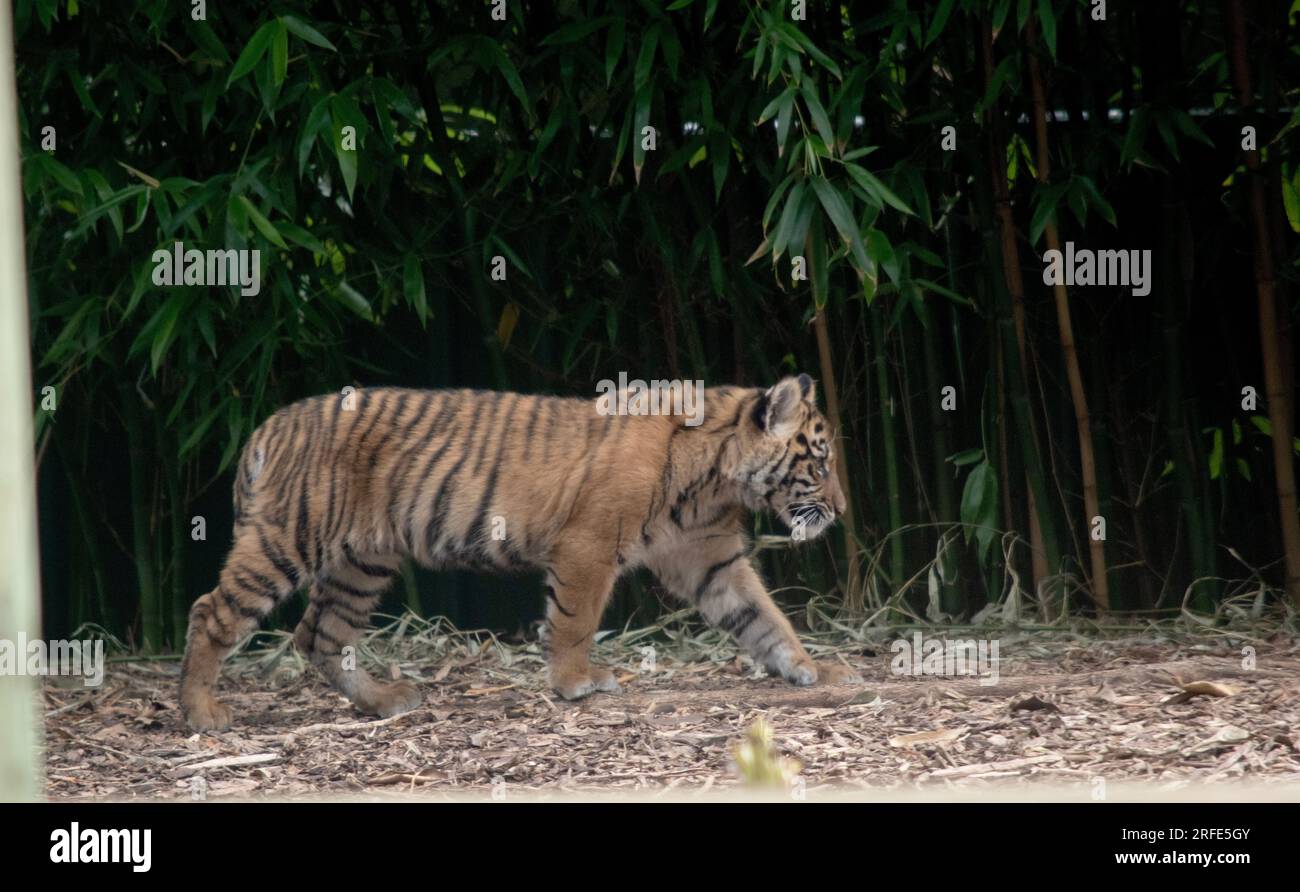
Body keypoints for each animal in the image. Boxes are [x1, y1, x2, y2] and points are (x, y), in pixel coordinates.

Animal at [179, 373, 861, 731]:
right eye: (820, 462)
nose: (844, 510)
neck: (716, 476)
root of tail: (266, 426)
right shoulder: (589, 545)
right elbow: (575, 621)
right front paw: (576, 683)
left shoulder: (710, 558)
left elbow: (763, 618)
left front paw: (814, 669)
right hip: (289, 538)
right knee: (212, 611)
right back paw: (203, 712)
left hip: (361, 560)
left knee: (319, 634)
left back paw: (384, 703)